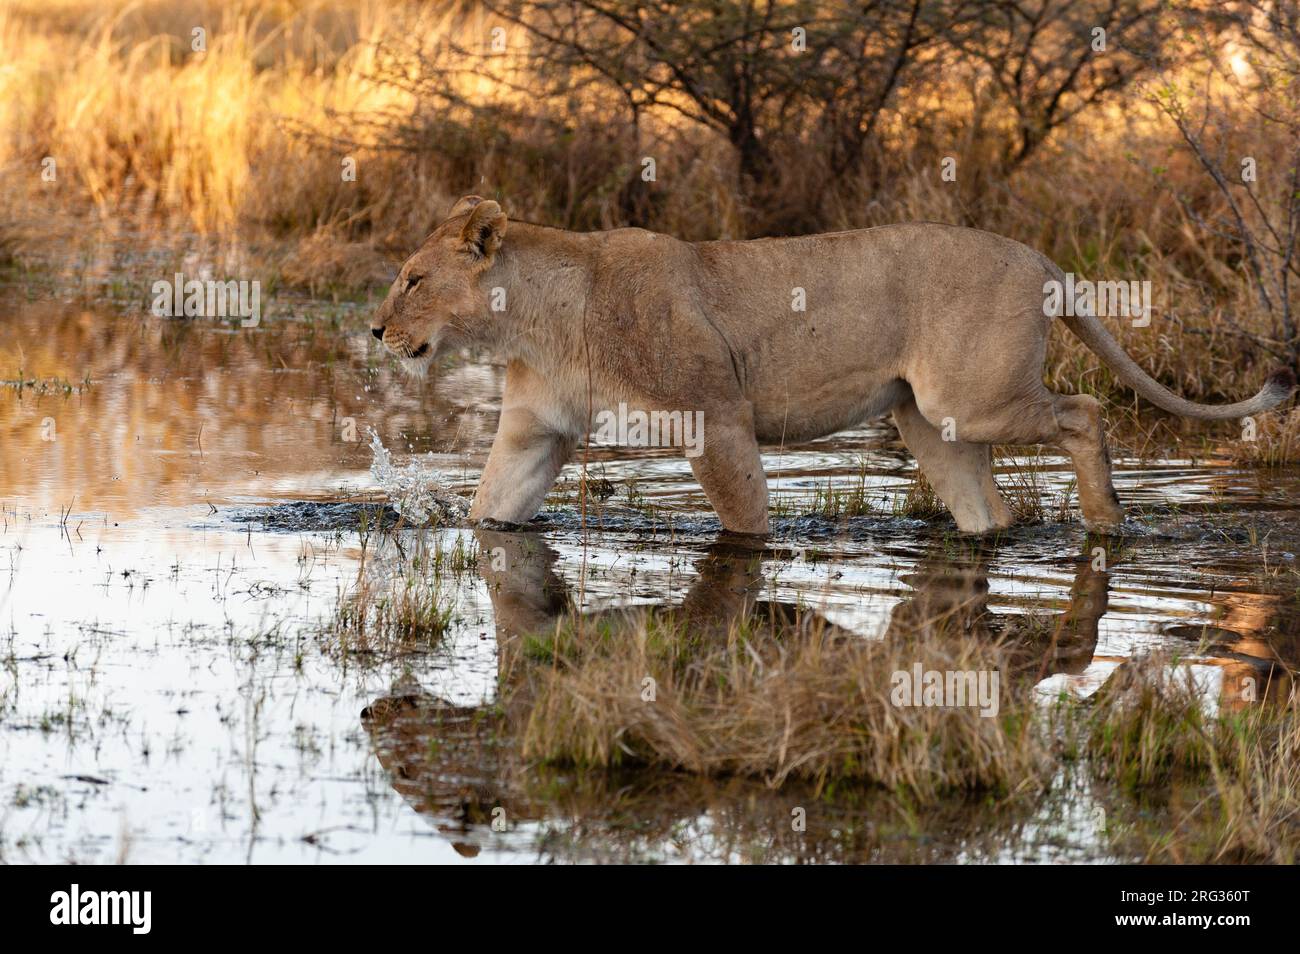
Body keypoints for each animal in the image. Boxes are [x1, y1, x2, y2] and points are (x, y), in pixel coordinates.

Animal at [370, 195, 1296, 535]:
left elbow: (744, 521)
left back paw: (1106, 521)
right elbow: (493, 507)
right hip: (928, 421)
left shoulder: (715, 418)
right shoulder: (536, 432)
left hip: (971, 398)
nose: (375, 330)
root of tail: (1039, 255)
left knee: (1086, 412)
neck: (533, 323)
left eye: (413, 278)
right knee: (988, 511)